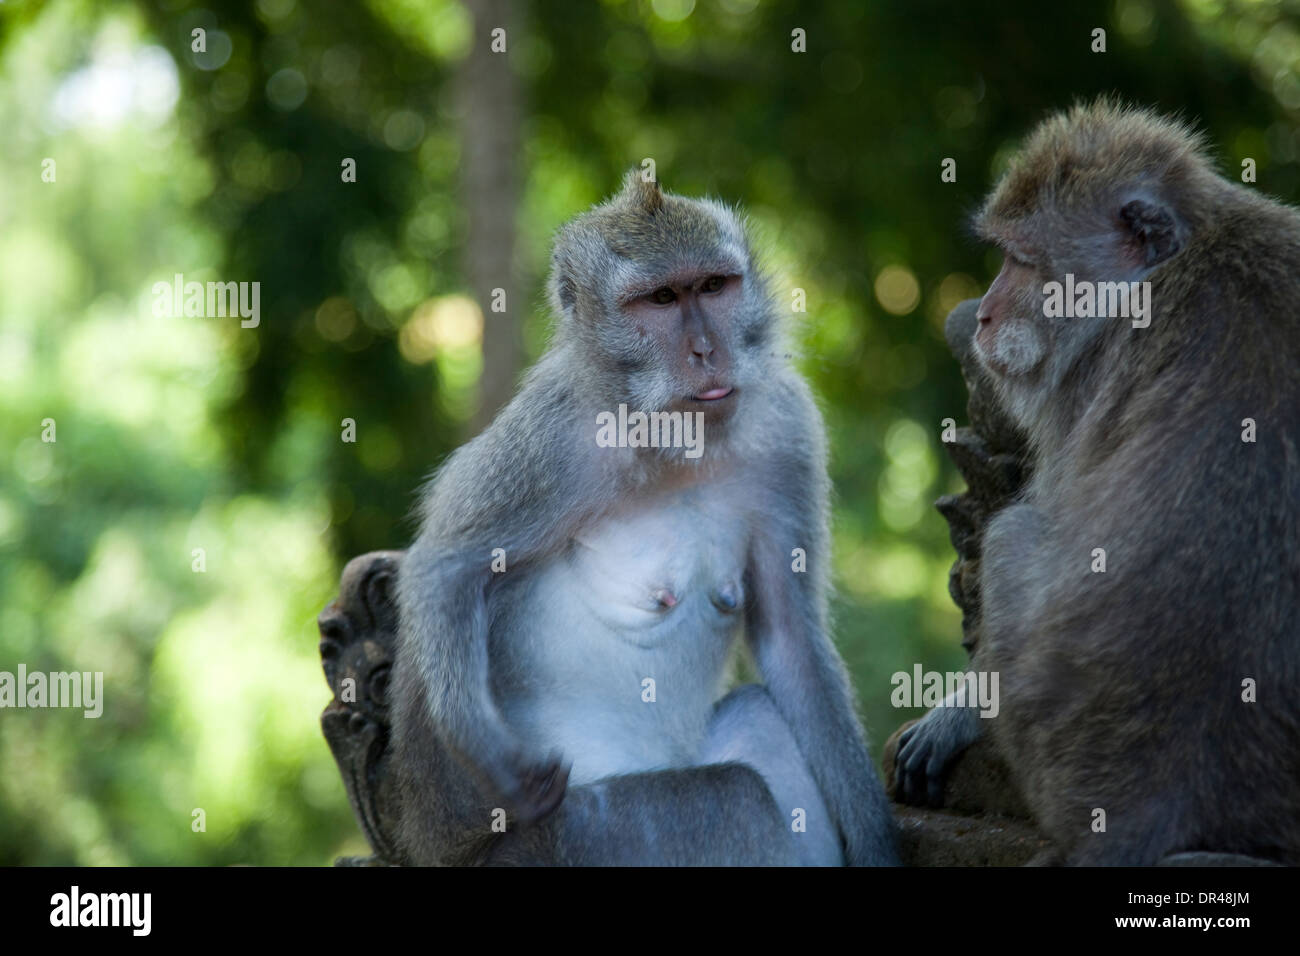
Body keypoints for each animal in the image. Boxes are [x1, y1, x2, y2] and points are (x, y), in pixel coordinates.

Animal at [390, 170, 898, 866]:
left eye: (712, 287)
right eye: (659, 300)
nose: (707, 350)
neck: (674, 440)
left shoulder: (786, 427)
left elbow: (791, 639)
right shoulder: (552, 439)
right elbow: (443, 568)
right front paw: (493, 761)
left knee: (762, 718)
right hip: (570, 842)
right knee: (734, 796)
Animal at [895, 100, 1300, 865]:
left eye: (1022, 262)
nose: (982, 313)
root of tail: (1160, 801)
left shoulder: (1081, 376)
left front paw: (960, 710)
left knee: (1012, 532)